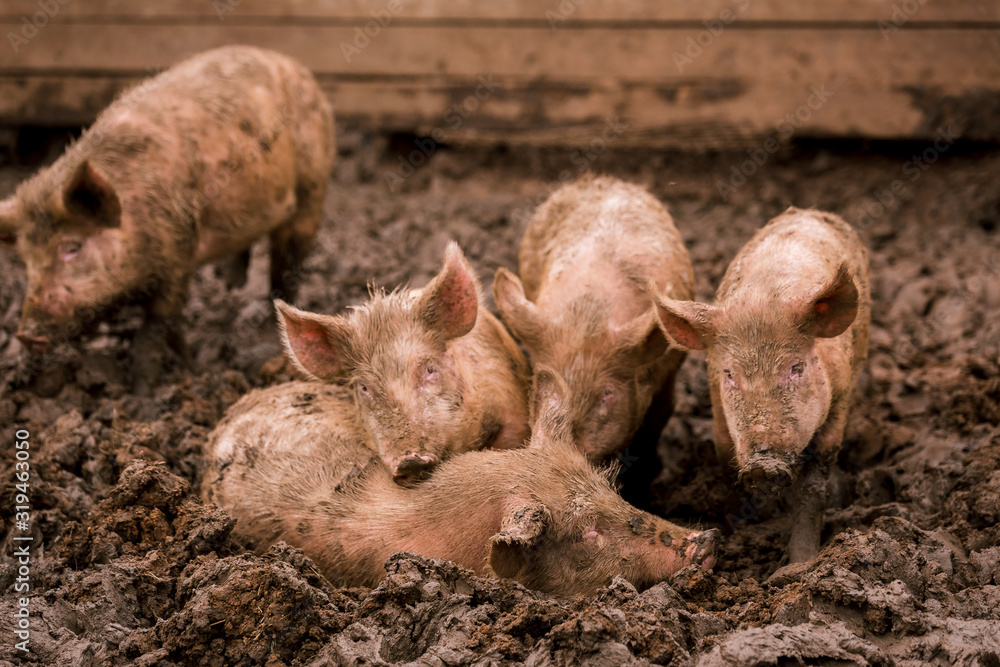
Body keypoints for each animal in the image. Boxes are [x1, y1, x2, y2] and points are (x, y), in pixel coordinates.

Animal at [0, 45, 335, 395]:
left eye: (72, 247)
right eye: (26, 260)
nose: (27, 334)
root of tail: (293, 64)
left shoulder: (177, 257)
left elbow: (155, 328)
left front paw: (146, 395)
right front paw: (188, 365)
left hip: (312, 187)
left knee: (288, 266)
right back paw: (231, 282)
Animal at [652, 207, 870, 564]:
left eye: (796, 368)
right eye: (729, 374)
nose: (762, 466)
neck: (765, 299)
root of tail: (810, 212)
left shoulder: (841, 396)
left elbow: (814, 485)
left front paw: (800, 563)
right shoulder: (719, 411)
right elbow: (726, 466)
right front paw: (737, 535)